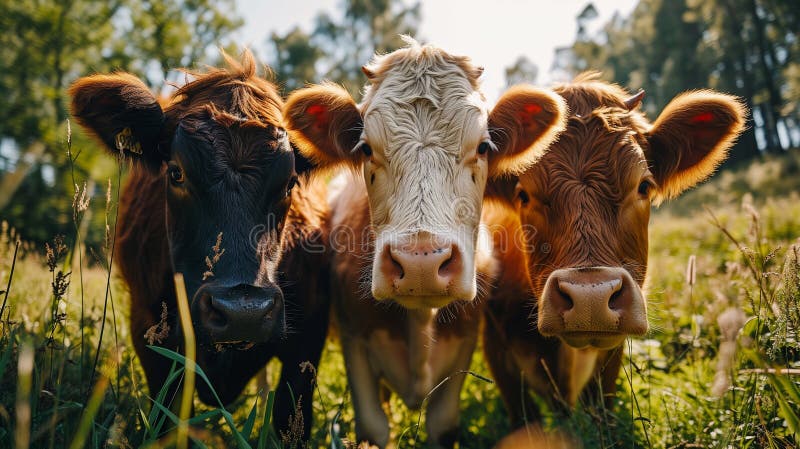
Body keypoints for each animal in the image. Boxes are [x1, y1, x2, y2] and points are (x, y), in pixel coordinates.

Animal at [69, 51, 331, 439]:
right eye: (176, 172)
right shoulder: (149, 327)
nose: (243, 313)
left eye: (290, 182)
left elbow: (290, 420)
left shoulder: (307, 342)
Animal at [283, 37, 567, 448]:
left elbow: (443, 422)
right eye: (366, 148)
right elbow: (372, 425)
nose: (421, 263)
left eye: (483, 147)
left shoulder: (465, 340)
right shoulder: (354, 340)